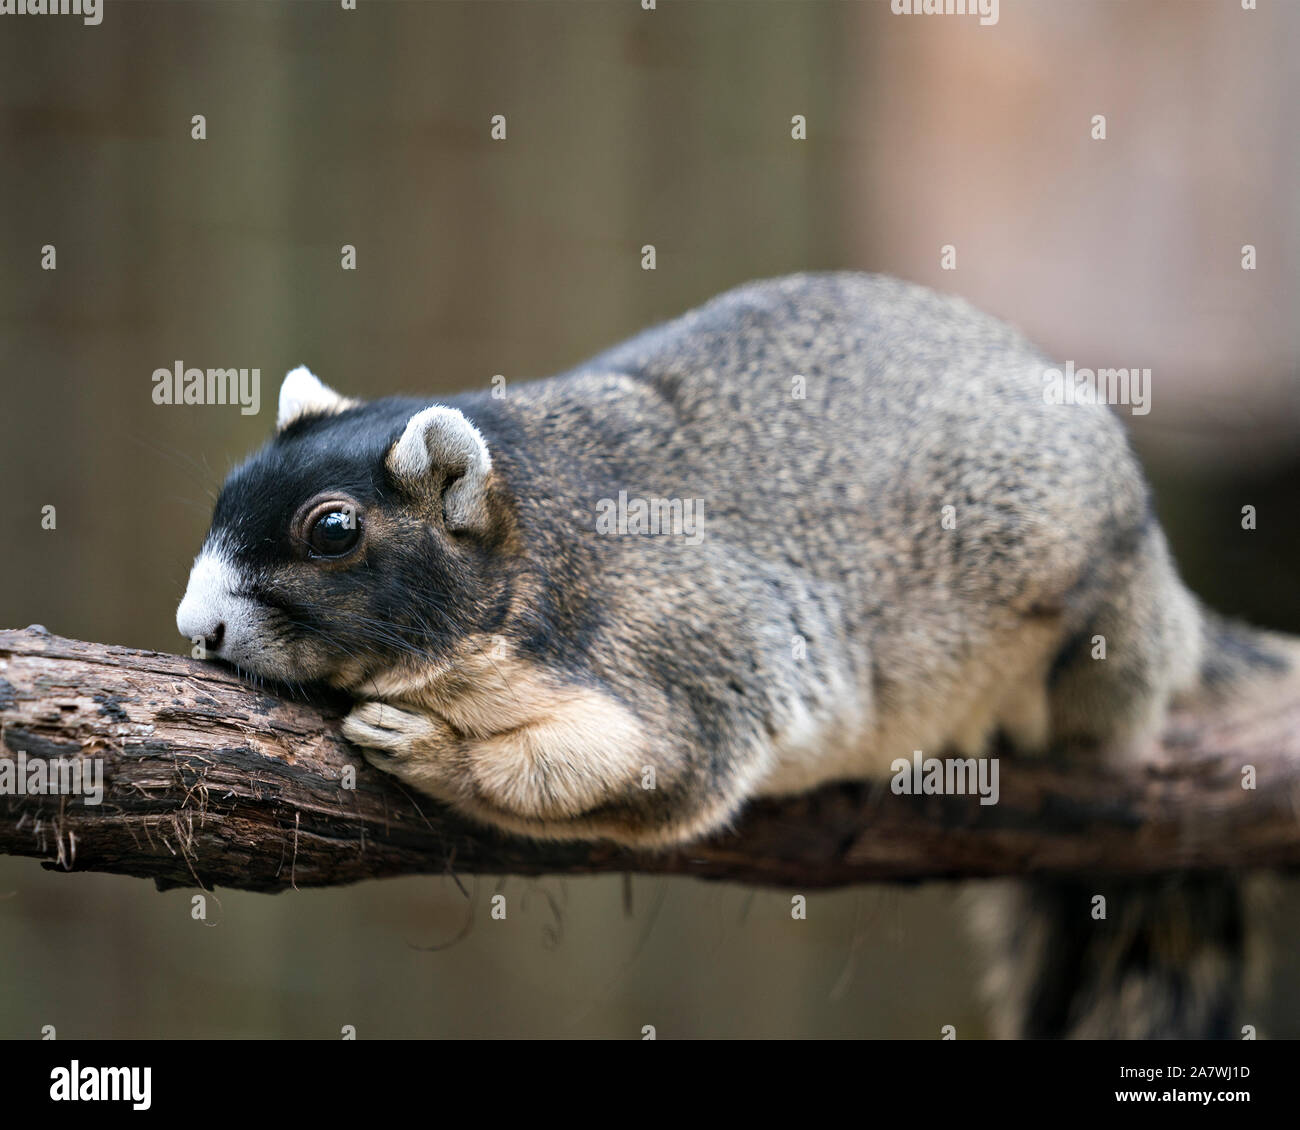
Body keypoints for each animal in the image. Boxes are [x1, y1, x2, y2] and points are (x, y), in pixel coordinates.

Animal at [177, 272, 1298, 1037]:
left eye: (332, 530)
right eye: (223, 490)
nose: (198, 628)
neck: (539, 536)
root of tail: (1174, 605)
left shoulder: (684, 647)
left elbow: (635, 768)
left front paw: (428, 746)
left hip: (1096, 637)